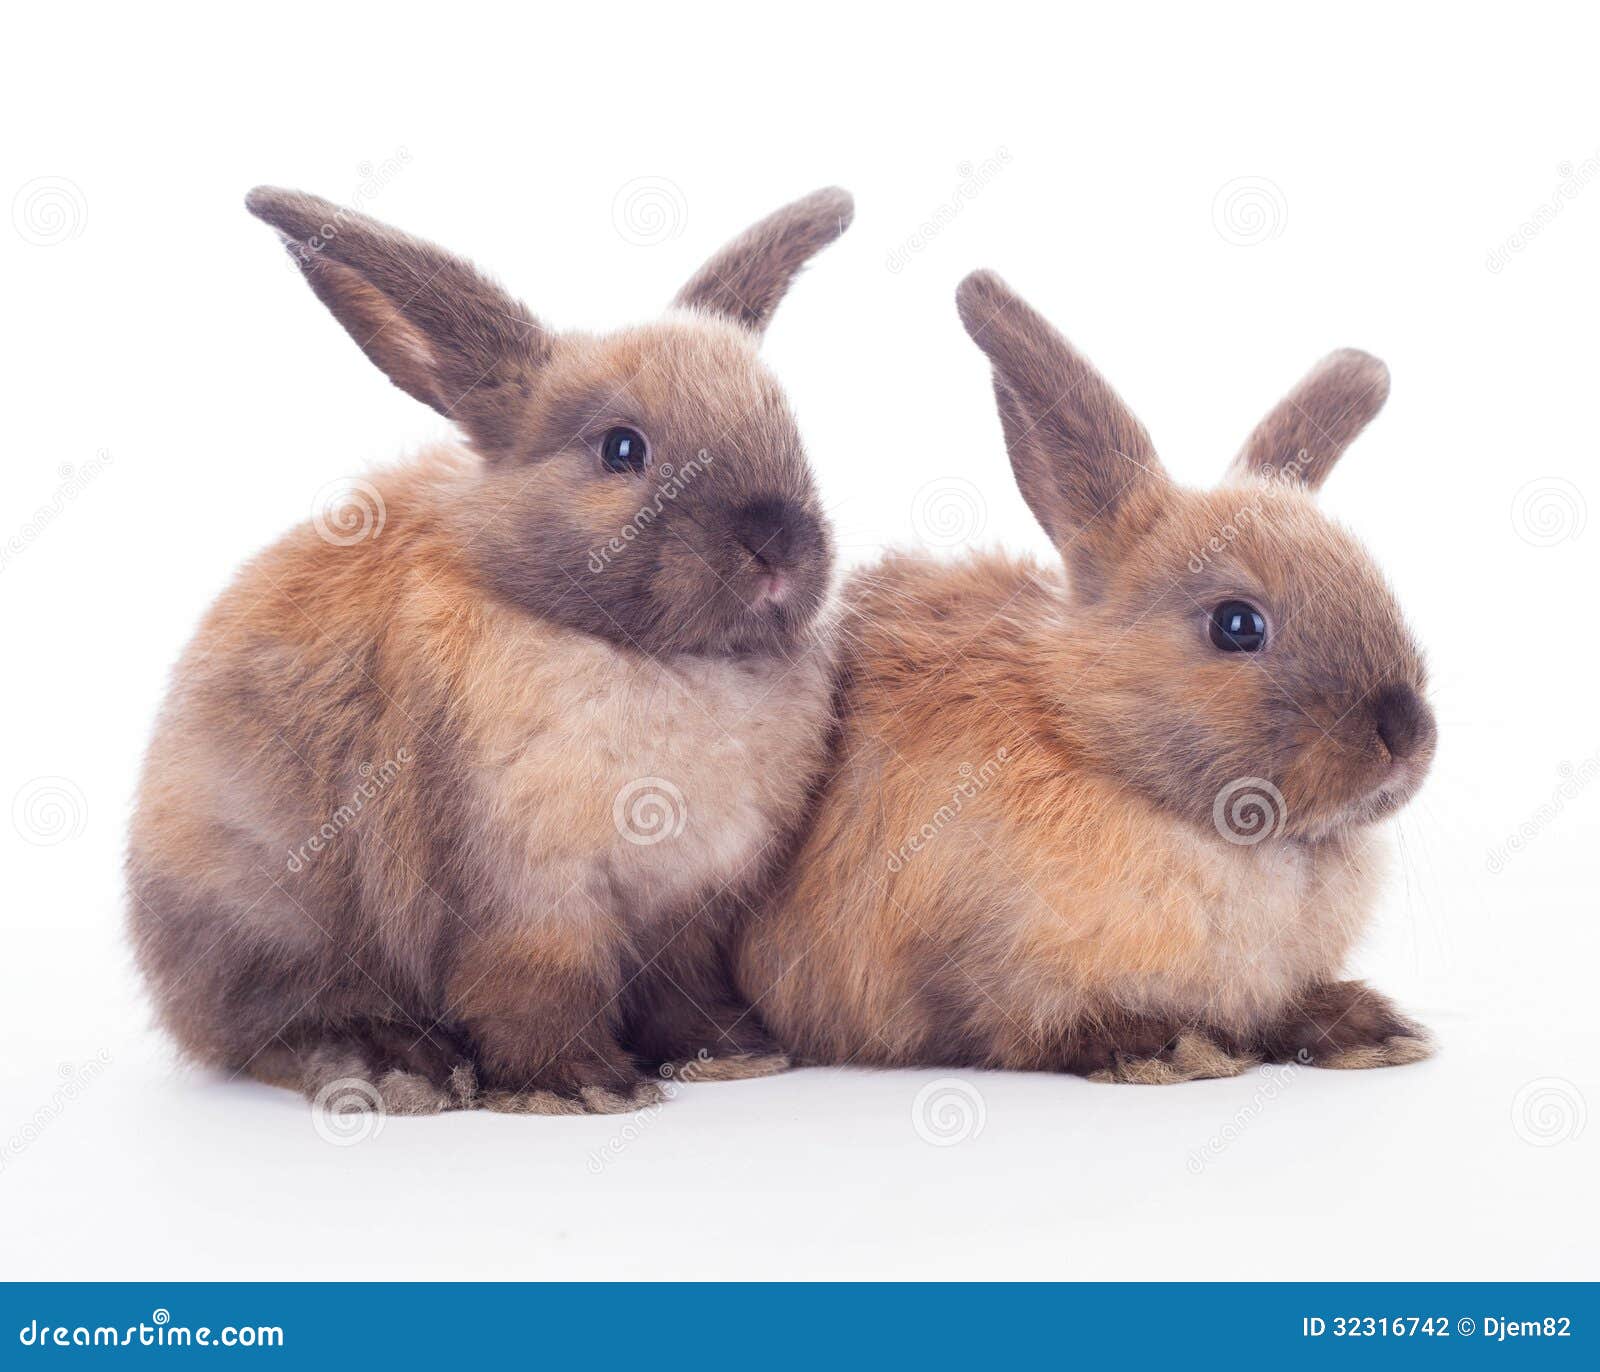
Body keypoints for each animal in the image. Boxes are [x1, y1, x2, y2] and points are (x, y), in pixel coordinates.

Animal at [127, 184, 853, 1114]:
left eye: (788, 430)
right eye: (623, 448)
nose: (778, 544)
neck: (662, 659)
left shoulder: (688, 913)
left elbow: (678, 991)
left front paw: (731, 1054)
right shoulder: (527, 904)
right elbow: (536, 996)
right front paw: (585, 1090)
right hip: (266, 912)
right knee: (277, 1022)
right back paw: (400, 1066)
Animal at [734, 269, 1437, 1084]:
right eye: (1238, 624)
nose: (1407, 733)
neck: (1095, 749)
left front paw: (1368, 1028)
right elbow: (1040, 1028)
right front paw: (1172, 1045)